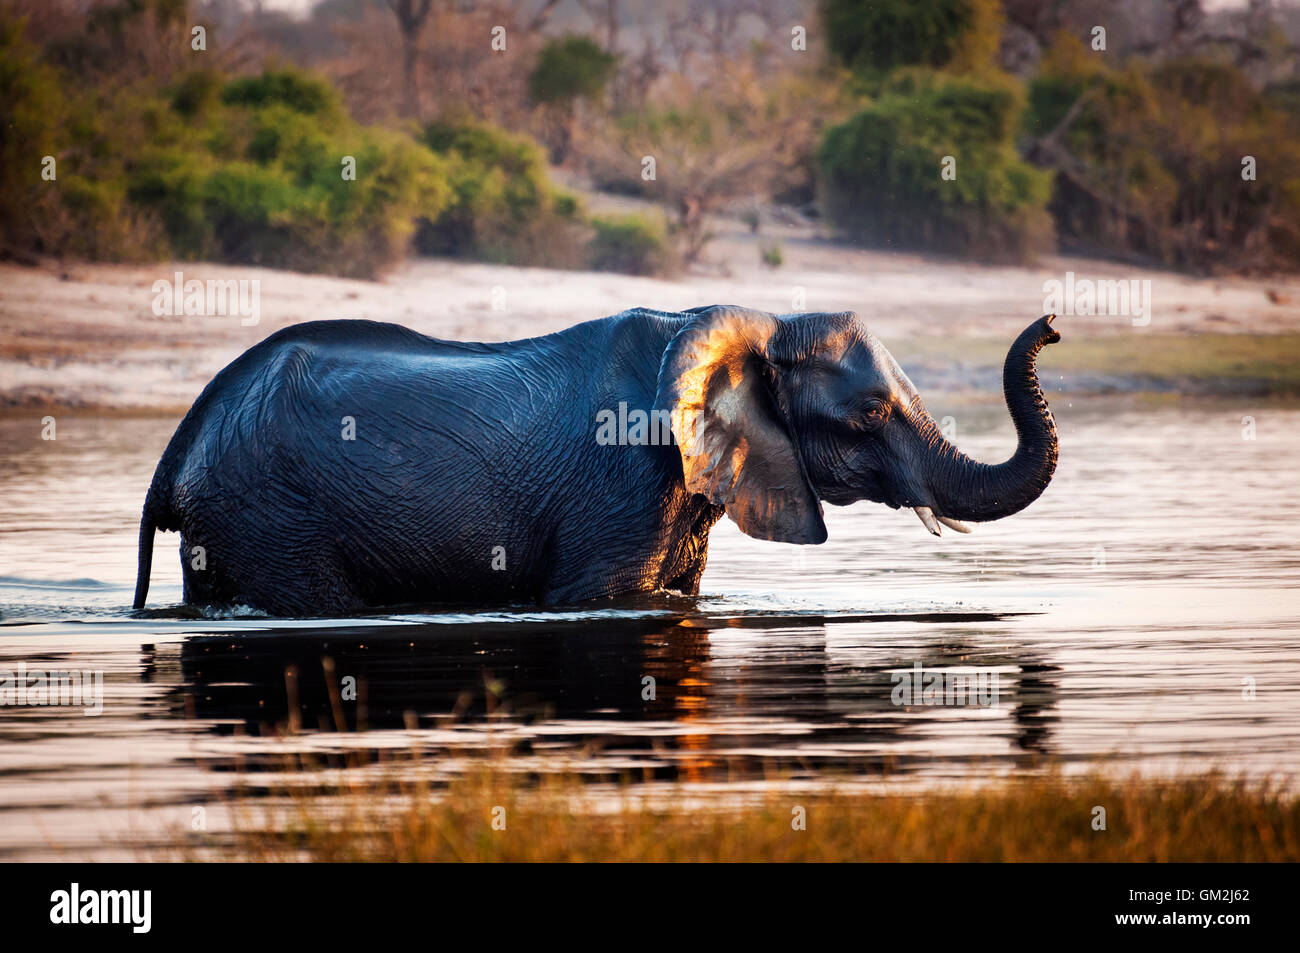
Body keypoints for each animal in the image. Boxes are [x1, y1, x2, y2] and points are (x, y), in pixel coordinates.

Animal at [132, 306, 1060, 616]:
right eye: (869, 412)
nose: (1051, 325)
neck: (757, 323)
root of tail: (180, 446)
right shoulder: (620, 486)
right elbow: (599, 598)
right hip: (270, 507)